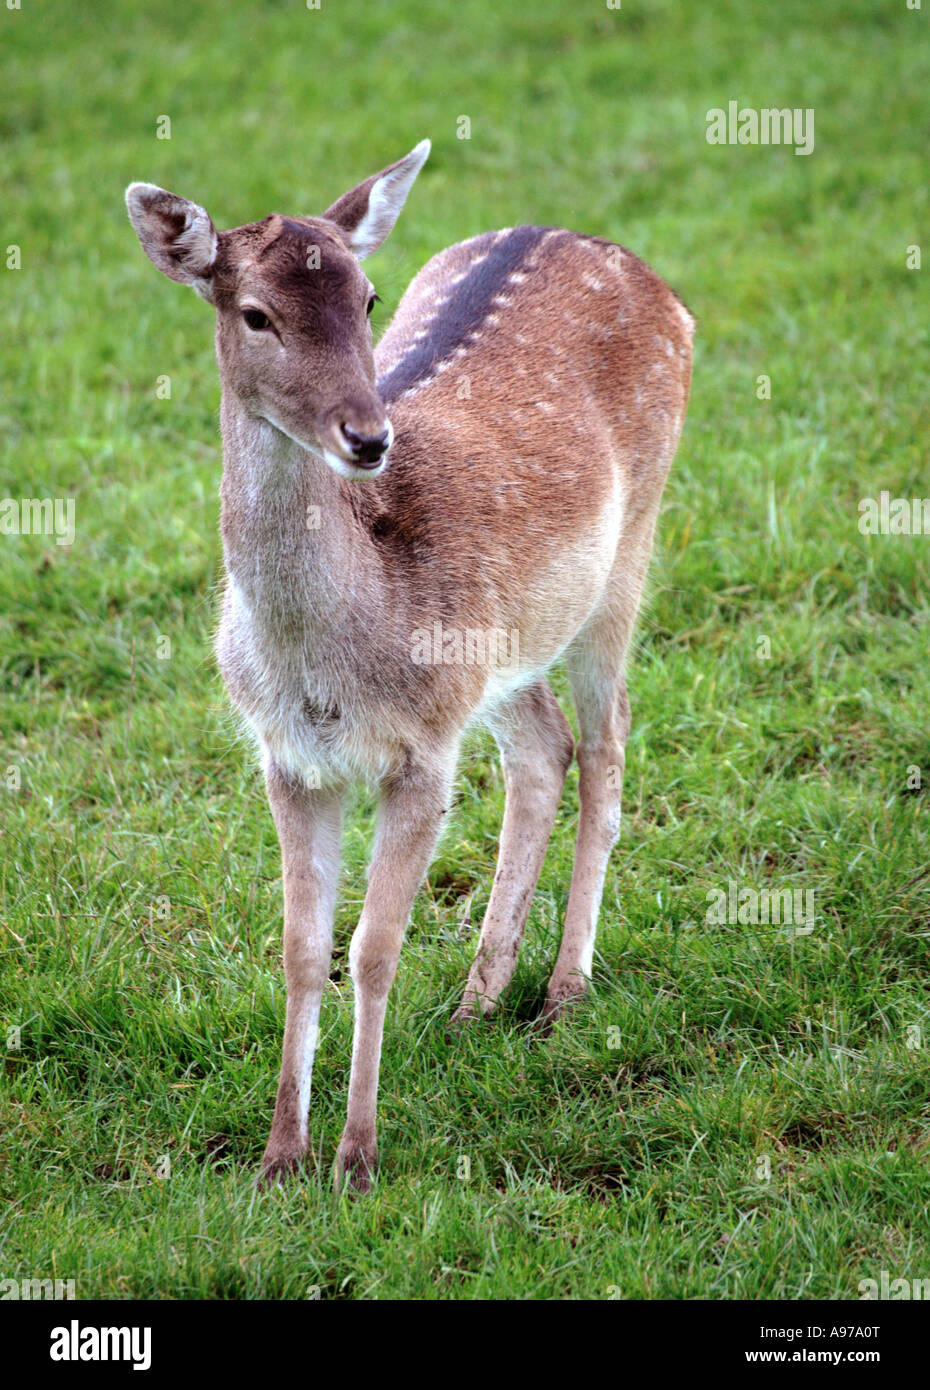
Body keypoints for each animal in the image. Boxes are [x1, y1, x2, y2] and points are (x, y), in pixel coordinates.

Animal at [125, 139, 693, 1194]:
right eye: (255, 313)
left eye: (368, 297)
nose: (369, 436)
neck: (325, 668)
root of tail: (630, 263)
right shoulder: (288, 758)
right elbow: (301, 947)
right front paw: (279, 1157)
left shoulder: (424, 749)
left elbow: (374, 948)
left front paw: (357, 1158)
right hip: (505, 650)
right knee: (543, 747)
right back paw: (478, 1000)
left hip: (629, 553)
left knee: (608, 745)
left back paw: (564, 992)